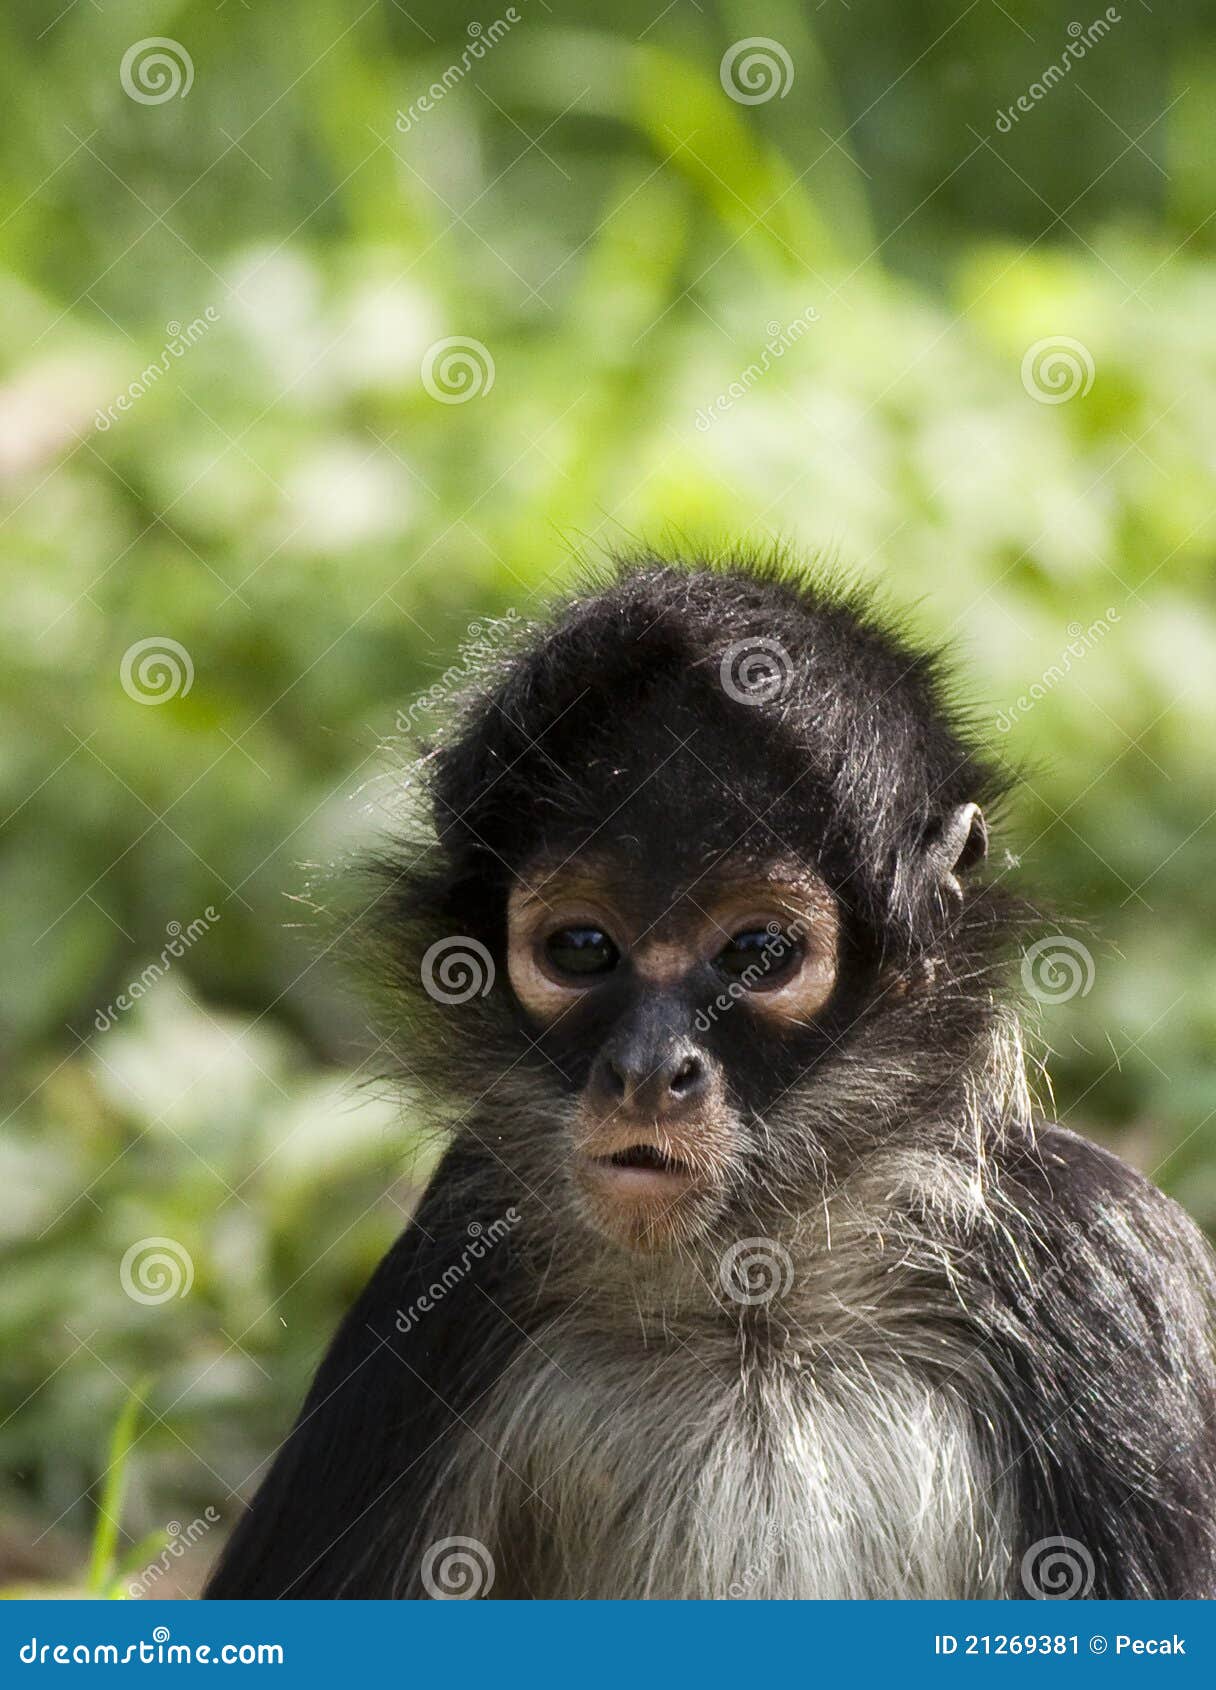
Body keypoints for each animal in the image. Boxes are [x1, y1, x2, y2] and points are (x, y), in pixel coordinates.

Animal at [204, 554, 1216, 1601]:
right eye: (580, 948)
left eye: (758, 953)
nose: (649, 1069)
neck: (752, 1305)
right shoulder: (454, 1257)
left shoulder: (1095, 1249)